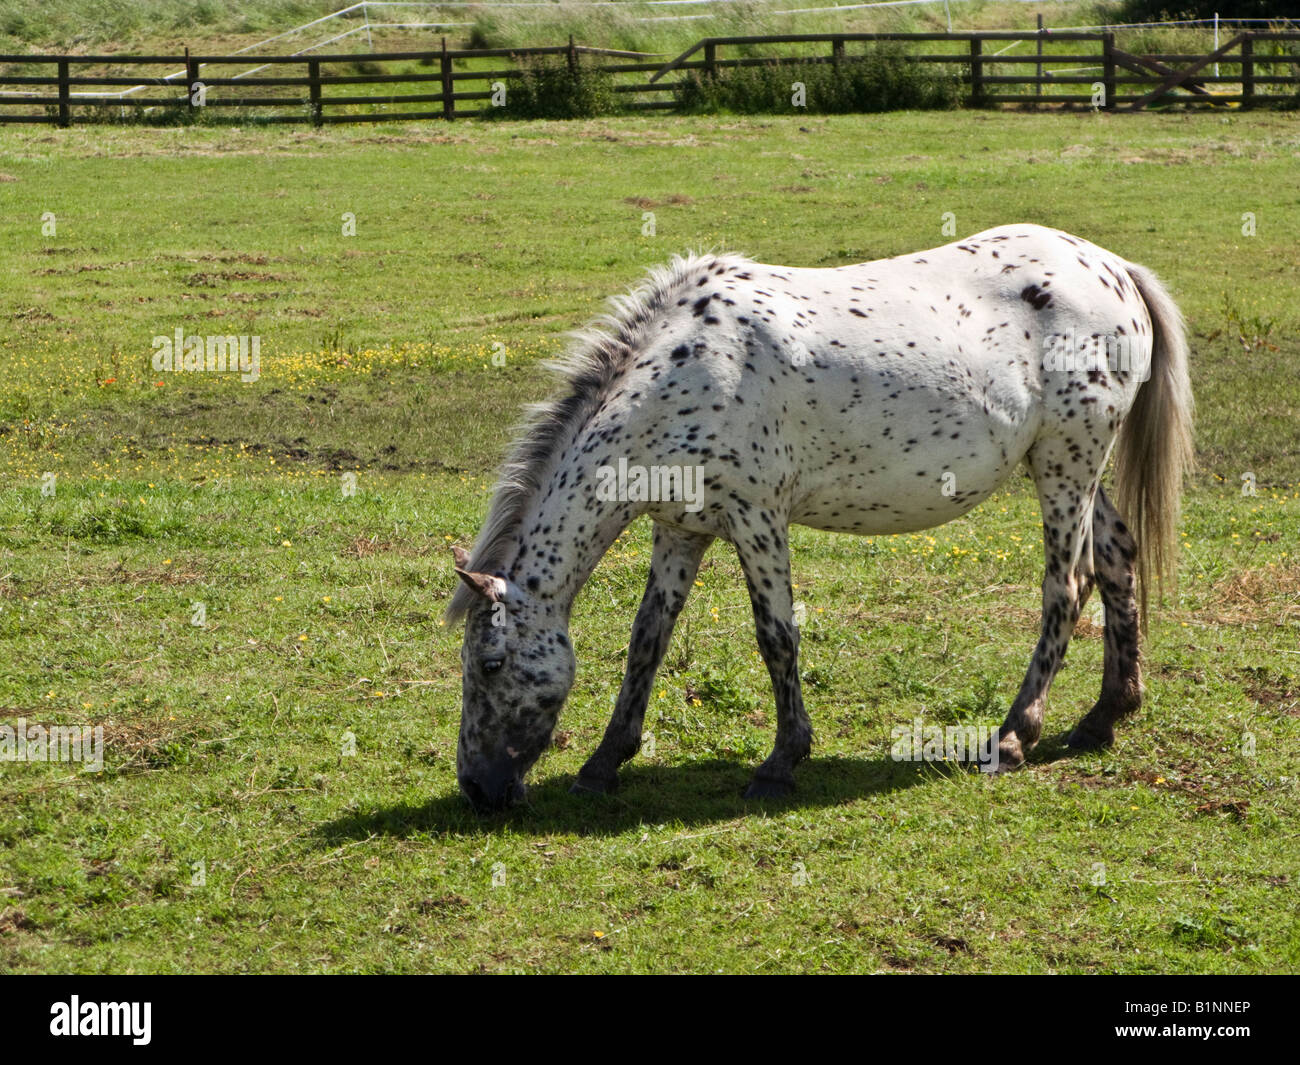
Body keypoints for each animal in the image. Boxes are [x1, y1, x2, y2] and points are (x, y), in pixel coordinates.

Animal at [446, 224, 1194, 812]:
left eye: (489, 663)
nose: (479, 789)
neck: (680, 373)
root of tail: (1113, 269)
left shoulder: (757, 517)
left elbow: (776, 635)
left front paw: (782, 762)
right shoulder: (681, 529)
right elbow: (647, 639)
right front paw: (604, 762)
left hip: (1068, 465)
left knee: (1066, 589)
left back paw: (1014, 735)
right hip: (1069, 467)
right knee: (1117, 559)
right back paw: (1105, 716)